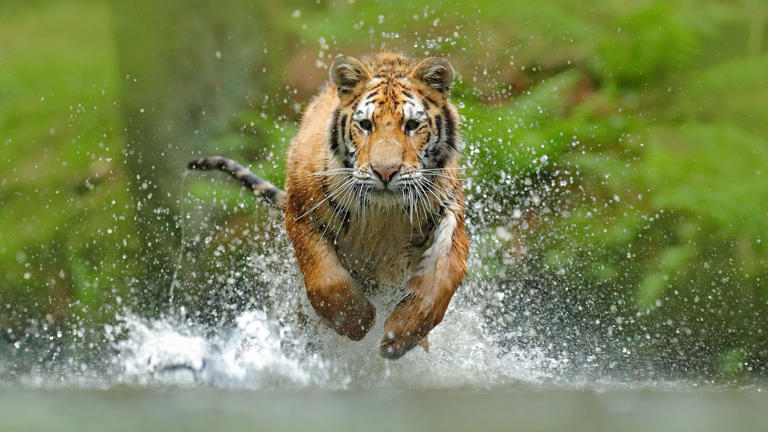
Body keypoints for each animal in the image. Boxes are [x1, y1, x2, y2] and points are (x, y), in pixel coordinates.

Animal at [189, 51, 468, 359]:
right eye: (366, 125)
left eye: (412, 125)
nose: (385, 172)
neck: (383, 214)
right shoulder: (301, 214)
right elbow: (326, 278)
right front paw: (357, 322)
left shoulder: (450, 215)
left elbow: (443, 279)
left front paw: (400, 336)